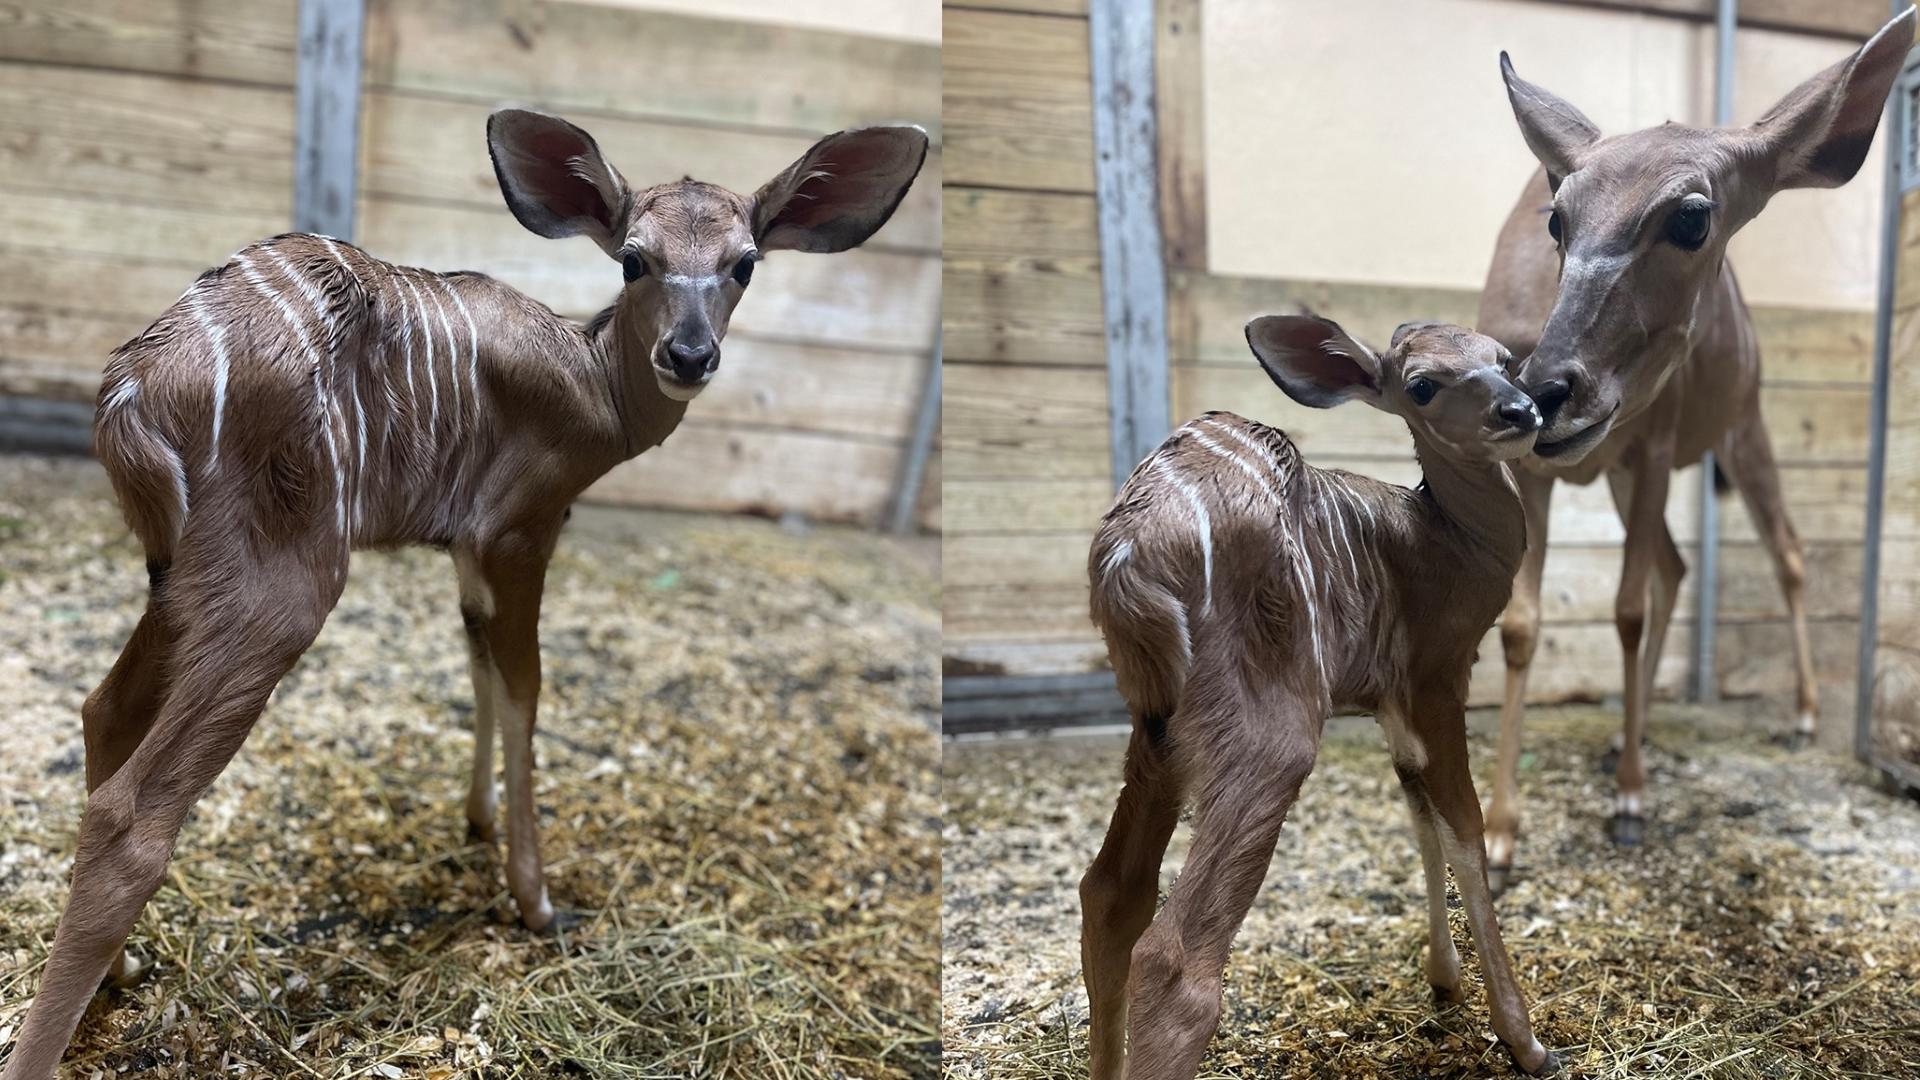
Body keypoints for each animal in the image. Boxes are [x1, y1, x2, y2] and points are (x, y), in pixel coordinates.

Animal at [0, 108, 926, 1080]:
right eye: (634, 258)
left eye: (745, 262)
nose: (689, 354)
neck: (594, 388)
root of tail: (130, 392)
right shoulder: (516, 532)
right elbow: (523, 689)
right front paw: (536, 899)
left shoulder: (464, 555)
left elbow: (478, 665)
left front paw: (476, 823)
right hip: (280, 588)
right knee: (131, 813)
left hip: (179, 577)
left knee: (102, 710)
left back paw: (126, 969)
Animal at [1081, 317, 1558, 1079]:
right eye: (1421, 385)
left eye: (1504, 359)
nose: (1520, 411)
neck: (1445, 546)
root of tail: (1127, 557)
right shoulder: (1433, 679)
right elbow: (1466, 830)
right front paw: (1526, 1041)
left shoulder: (1388, 705)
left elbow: (1419, 815)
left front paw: (1443, 982)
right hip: (1271, 737)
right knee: (1175, 957)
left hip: (1157, 733)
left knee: (1110, 895)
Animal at [1477, 8, 1913, 888]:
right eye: (1557, 215)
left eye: (1691, 216)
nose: (1547, 392)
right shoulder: (1535, 467)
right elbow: (1523, 622)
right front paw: (1502, 837)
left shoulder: (1653, 444)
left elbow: (1626, 609)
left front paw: (1630, 800)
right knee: (1680, 566)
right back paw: (1633, 729)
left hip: (1741, 430)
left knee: (1783, 550)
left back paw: (1802, 715)